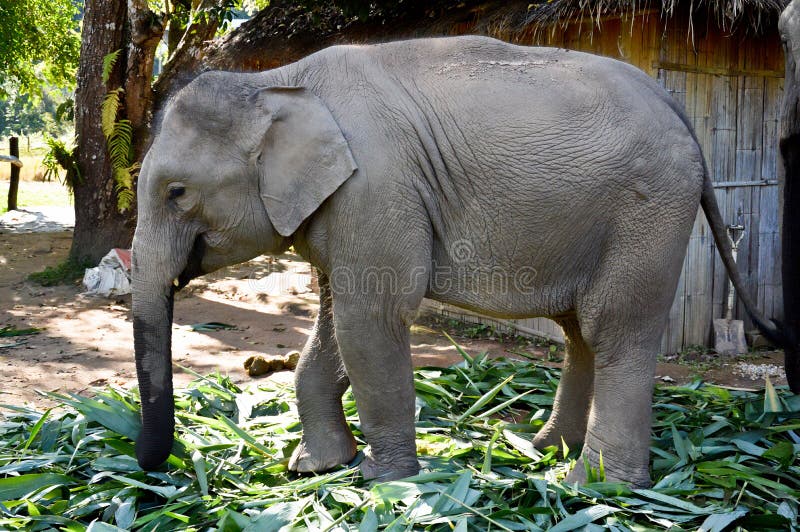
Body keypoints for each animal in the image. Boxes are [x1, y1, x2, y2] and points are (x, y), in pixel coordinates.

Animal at [131, 35, 784, 488]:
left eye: (176, 192)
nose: (156, 468)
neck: (276, 81)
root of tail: (674, 103)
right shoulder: (341, 206)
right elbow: (334, 321)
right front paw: (313, 469)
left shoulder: (377, 190)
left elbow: (370, 321)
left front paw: (383, 481)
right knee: (580, 332)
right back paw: (542, 450)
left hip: (648, 209)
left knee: (615, 328)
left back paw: (591, 486)